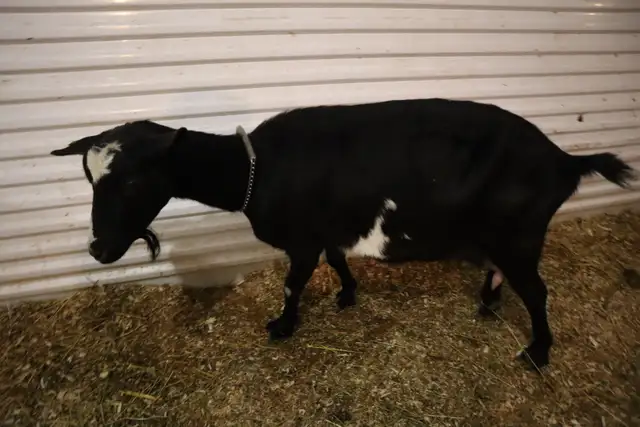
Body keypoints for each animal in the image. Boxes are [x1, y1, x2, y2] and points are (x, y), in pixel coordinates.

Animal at [50, 98, 637, 372]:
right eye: (89, 178)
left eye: (131, 181)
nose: (99, 249)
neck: (254, 169)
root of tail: (565, 160)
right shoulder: (325, 229)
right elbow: (337, 261)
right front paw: (348, 295)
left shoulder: (301, 239)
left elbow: (293, 283)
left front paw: (283, 326)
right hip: (503, 238)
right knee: (504, 275)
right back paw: (488, 306)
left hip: (520, 235)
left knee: (537, 292)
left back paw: (538, 353)